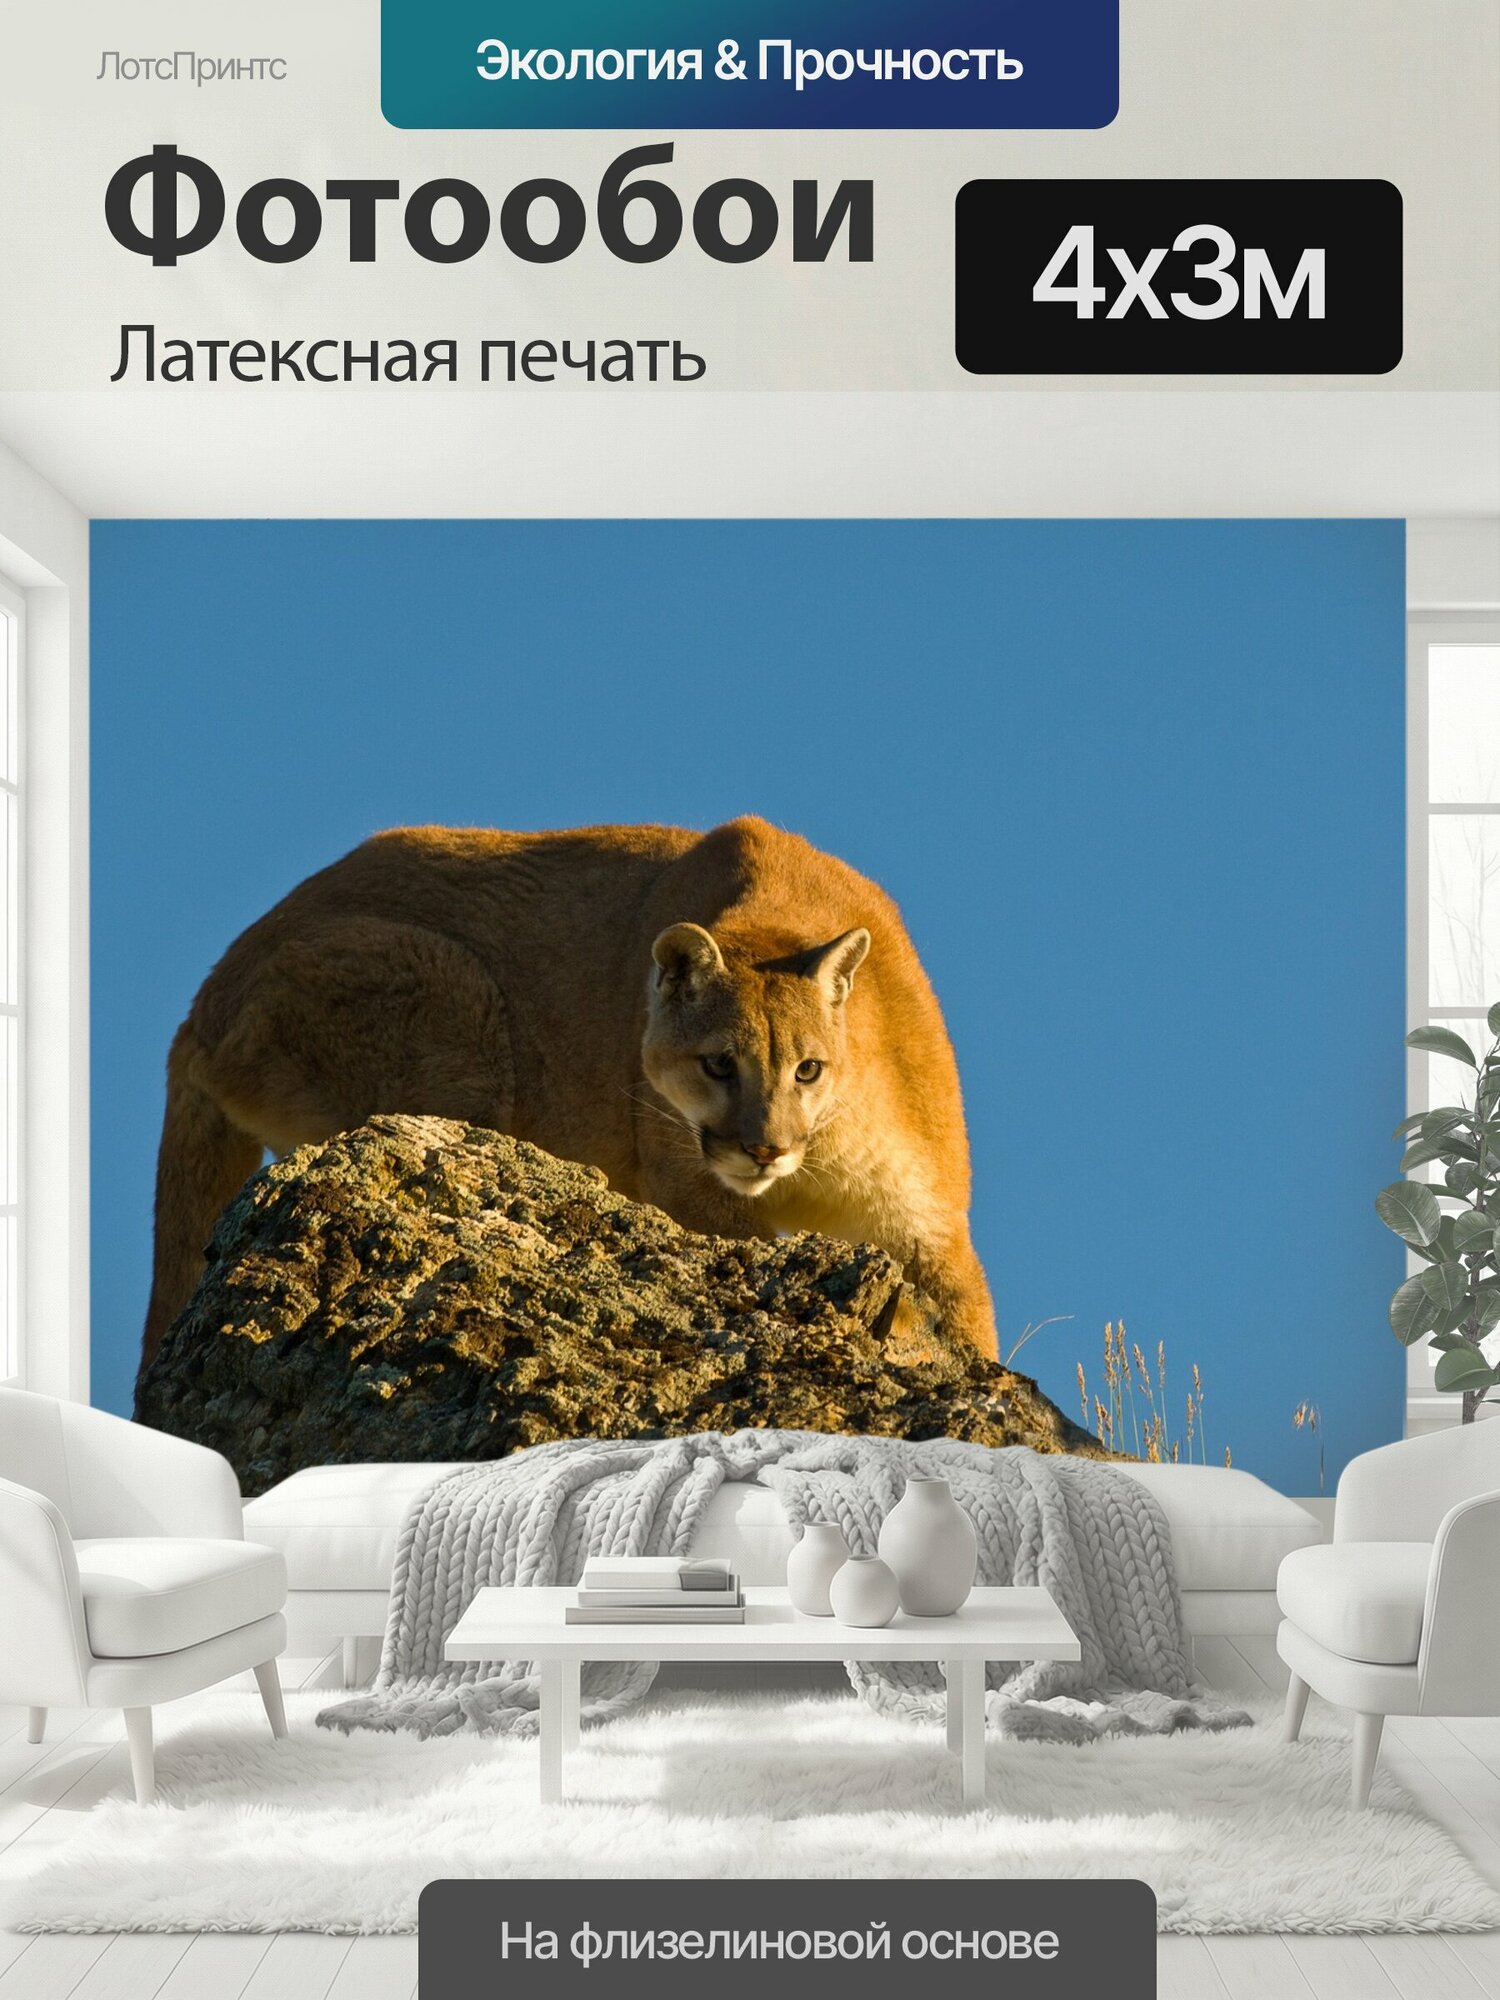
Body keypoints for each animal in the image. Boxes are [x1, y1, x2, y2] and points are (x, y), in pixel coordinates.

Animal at [140, 815, 997, 1370]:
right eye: (719, 1065)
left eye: (808, 1069)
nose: (763, 1147)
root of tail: (199, 1006)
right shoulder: (692, 1183)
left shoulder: (928, 1221)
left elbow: (972, 1322)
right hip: (462, 1025)